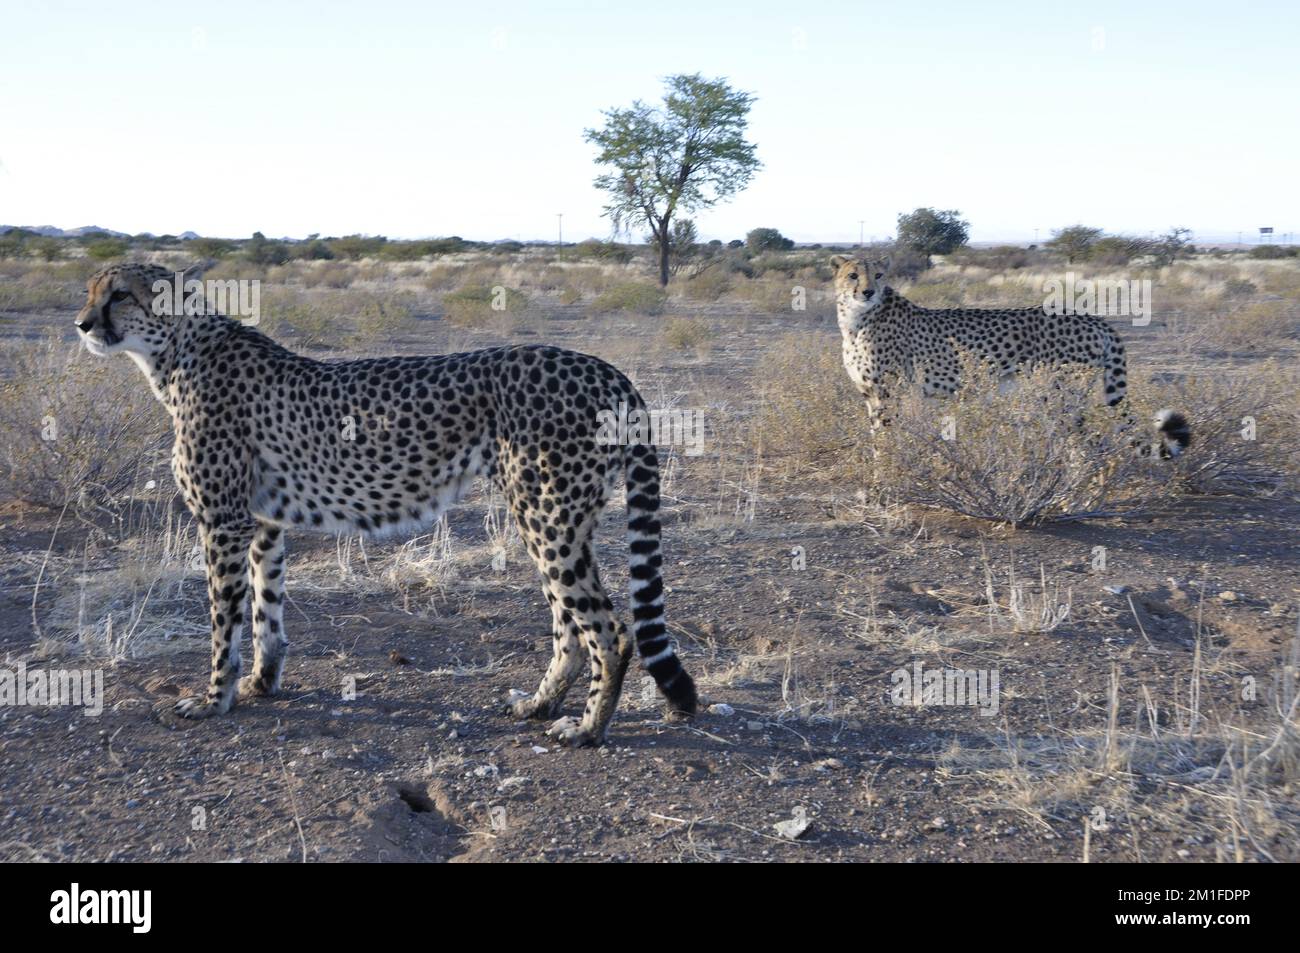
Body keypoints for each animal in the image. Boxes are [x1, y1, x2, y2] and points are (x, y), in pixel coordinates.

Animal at [74, 262, 696, 747]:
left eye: (121, 294)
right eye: (89, 290)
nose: (81, 324)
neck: (177, 353)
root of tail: (604, 369)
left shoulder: (222, 523)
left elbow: (224, 621)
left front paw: (213, 698)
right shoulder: (263, 523)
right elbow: (265, 607)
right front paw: (261, 684)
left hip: (548, 516)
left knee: (608, 629)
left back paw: (588, 729)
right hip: (553, 518)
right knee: (569, 624)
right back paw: (539, 706)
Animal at [829, 254, 1191, 457]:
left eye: (878, 274)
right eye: (852, 275)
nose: (868, 291)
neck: (856, 318)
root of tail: (1092, 317)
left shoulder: (889, 393)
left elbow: (884, 440)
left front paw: (883, 483)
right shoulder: (871, 394)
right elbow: (877, 436)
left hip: (1060, 397)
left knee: (1083, 443)